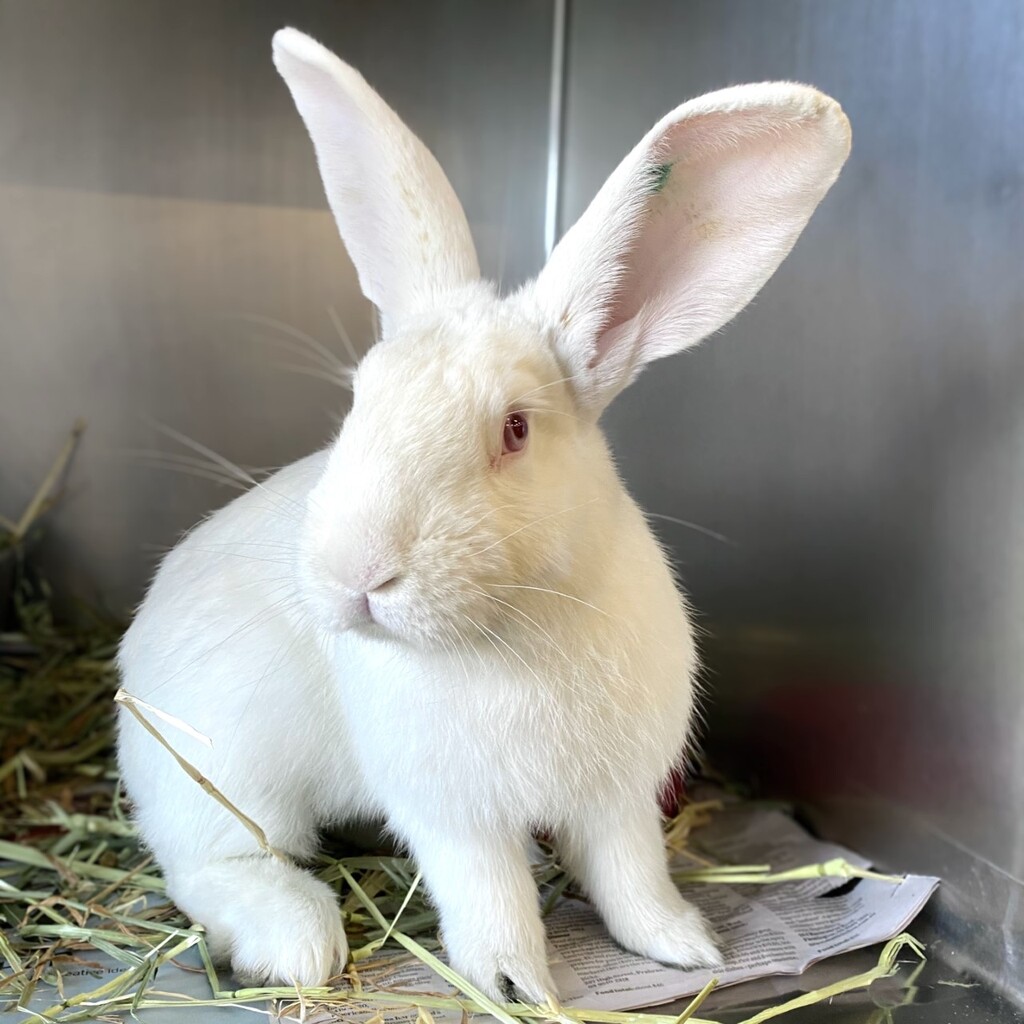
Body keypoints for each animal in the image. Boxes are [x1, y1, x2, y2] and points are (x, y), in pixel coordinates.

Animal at [116, 26, 850, 1002]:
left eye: (514, 429)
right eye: (360, 398)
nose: (357, 573)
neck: (519, 626)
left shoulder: (617, 797)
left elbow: (631, 874)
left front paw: (684, 946)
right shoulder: (455, 813)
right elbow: (489, 894)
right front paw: (515, 986)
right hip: (222, 769)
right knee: (212, 860)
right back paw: (298, 937)